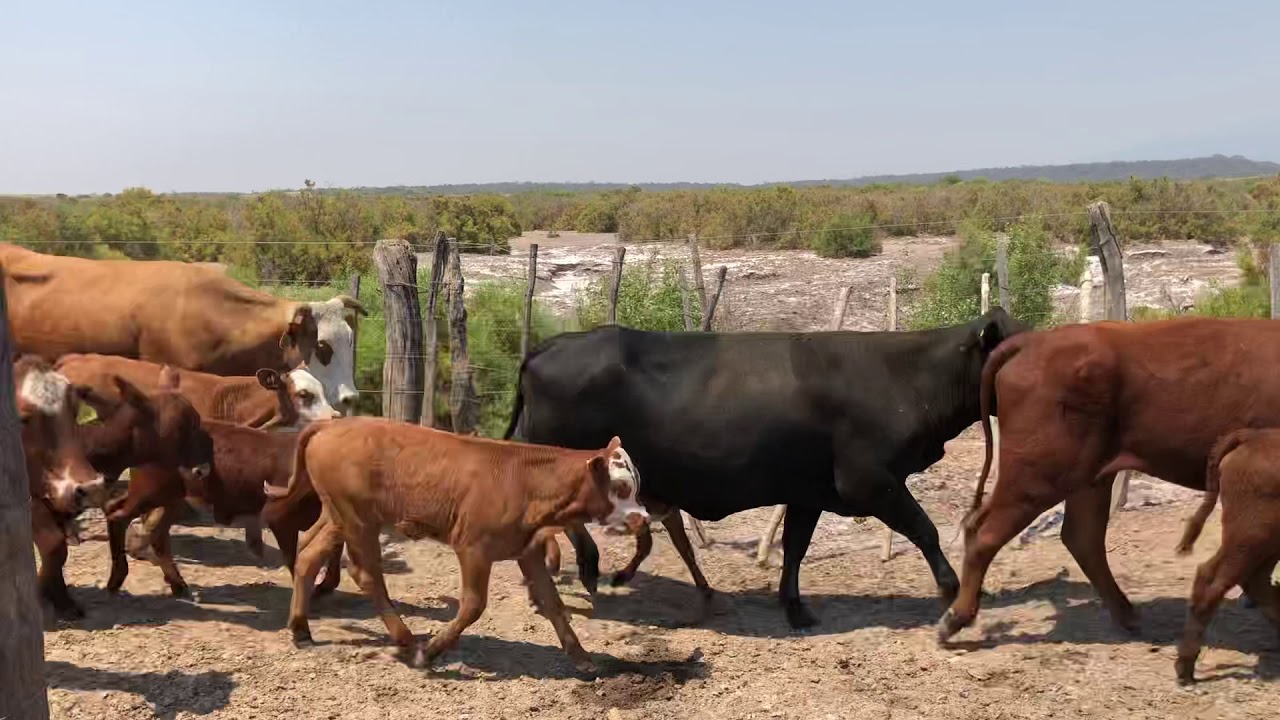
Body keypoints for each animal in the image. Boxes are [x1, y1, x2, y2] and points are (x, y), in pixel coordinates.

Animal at [268, 418, 648, 673]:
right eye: (621, 487)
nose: (643, 517)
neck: (526, 480)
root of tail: (330, 424)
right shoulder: (473, 549)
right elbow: (473, 606)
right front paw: (430, 652)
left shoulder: (526, 551)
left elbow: (553, 604)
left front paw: (582, 657)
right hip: (358, 521)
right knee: (366, 574)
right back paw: (407, 640)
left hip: (339, 518)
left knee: (308, 557)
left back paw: (301, 630)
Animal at [504, 309, 1026, 628]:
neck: (905, 377)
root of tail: (547, 347)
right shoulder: (870, 482)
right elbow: (924, 529)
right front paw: (952, 591)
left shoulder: (809, 491)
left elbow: (795, 547)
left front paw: (794, 607)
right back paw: (589, 568)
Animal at [938, 317, 1280, 645]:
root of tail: (1035, 341)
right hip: (1038, 478)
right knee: (987, 533)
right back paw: (954, 620)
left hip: (1088, 480)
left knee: (1079, 537)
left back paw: (1128, 616)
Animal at [1173, 429, 1280, 684]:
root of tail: (1252, 437)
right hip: (1249, 539)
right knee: (1214, 578)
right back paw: (1185, 668)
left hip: (1264, 545)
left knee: (1256, 582)